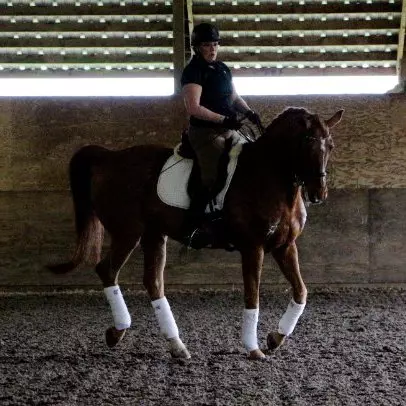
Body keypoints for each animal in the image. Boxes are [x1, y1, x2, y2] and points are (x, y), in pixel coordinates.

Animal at [49, 106, 344, 360]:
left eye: (330, 146)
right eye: (307, 143)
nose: (319, 194)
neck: (269, 176)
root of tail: (109, 158)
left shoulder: (285, 245)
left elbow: (301, 291)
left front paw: (275, 339)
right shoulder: (253, 247)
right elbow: (253, 296)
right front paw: (253, 348)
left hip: (154, 235)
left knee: (153, 282)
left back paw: (177, 346)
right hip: (127, 232)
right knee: (108, 270)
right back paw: (117, 332)